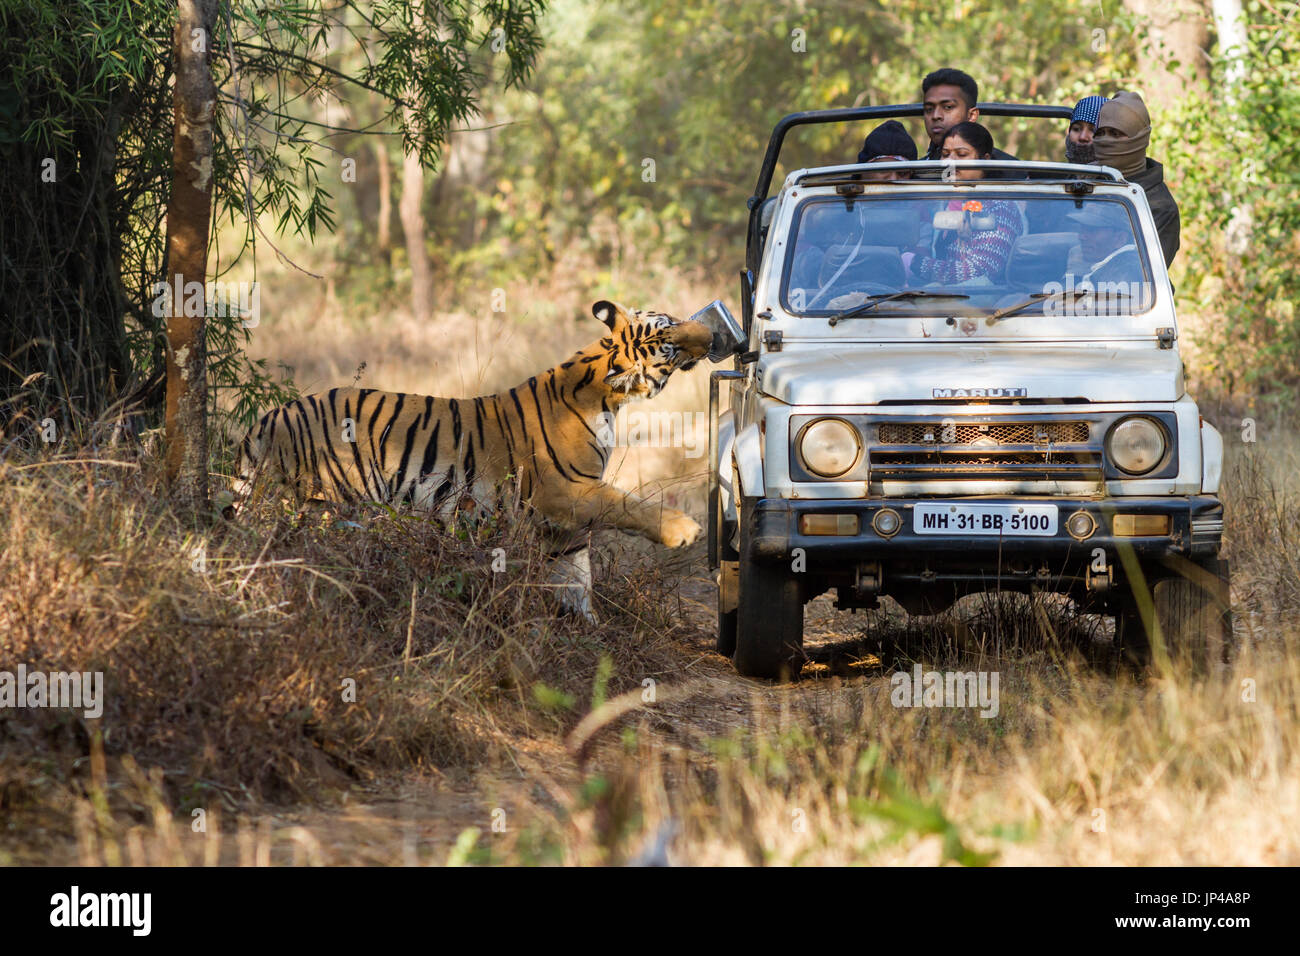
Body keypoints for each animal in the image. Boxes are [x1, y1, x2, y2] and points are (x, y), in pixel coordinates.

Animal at [228, 300, 714, 618]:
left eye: (673, 322)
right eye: (668, 344)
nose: (710, 336)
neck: (605, 395)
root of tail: (264, 421)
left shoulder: (563, 525)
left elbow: (576, 578)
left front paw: (587, 633)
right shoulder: (565, 492)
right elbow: (627, 504)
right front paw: (684, 530)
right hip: (320, 505)